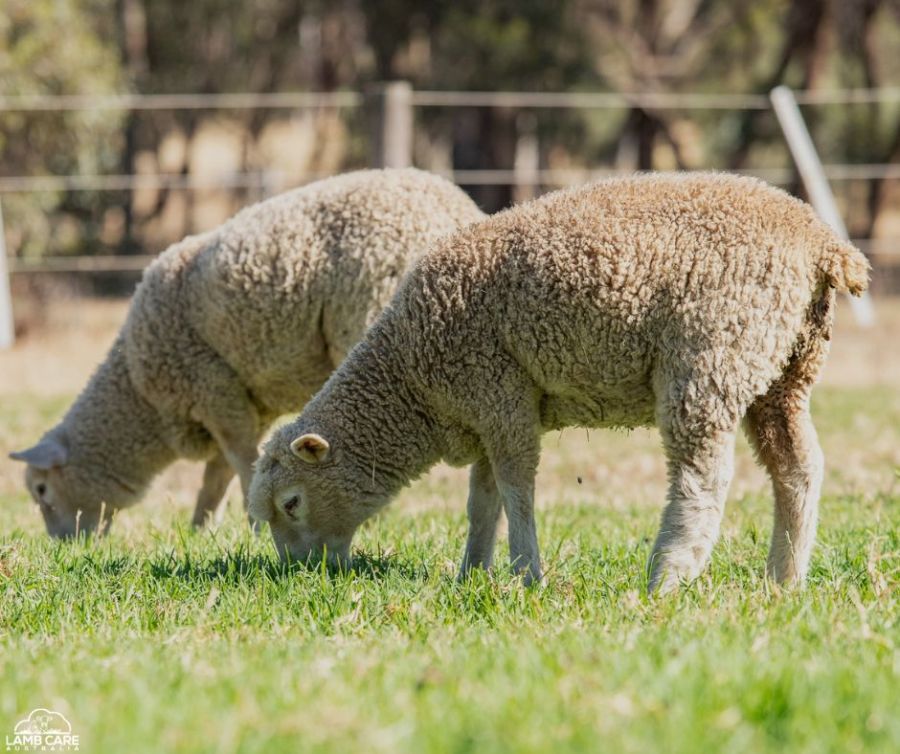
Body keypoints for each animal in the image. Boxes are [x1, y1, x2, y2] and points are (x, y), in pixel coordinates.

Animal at [9, 168, 485, 538]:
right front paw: (201, 528)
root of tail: (456, 210)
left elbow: (241, 460)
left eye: (41, 490)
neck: (139, 393)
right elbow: (216, 472)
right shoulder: (238, 400)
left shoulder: (214, 389)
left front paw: (251, 524)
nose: (64, 545)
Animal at [248, 171, 869, 593]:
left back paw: (668, 576)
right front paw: (472, 572)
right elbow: (482, 501)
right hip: (784, 369)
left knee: (702, 478)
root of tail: (820, 242)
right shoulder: (488, 408)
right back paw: (783, 579)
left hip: (712, 355)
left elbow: (517, 489)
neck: (410, 381)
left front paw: (526, 574)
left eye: (293, 503)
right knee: (798, 468)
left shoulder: (498, 393)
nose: (298, 576)